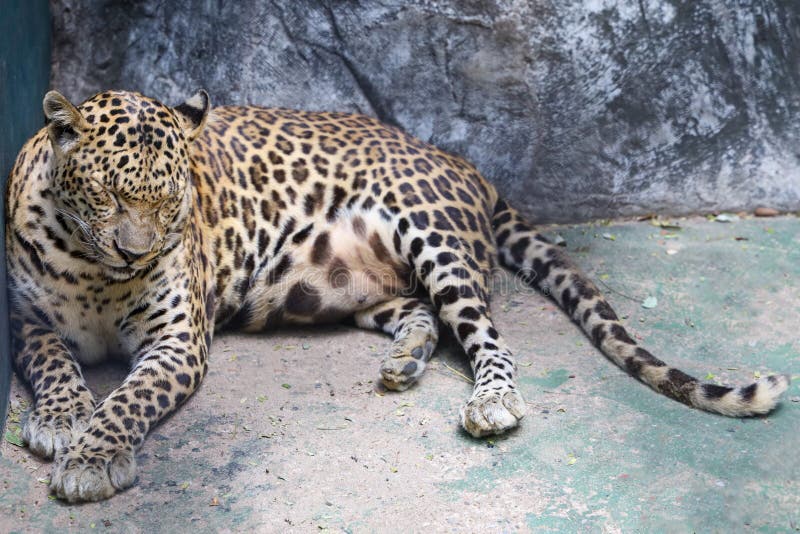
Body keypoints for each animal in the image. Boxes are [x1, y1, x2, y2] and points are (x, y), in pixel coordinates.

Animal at [5, 89, 790, 502]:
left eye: (174, 205)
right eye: (107, 197)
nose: (135, 252)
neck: (97, 270)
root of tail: (465, 164)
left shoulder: (177, 342)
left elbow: (130, 398)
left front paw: (91, 458)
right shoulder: (22, 318)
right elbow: (53, 363)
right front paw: (63, 420)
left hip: (434, 238)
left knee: (486, 335)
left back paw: (490, 403)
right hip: (334, 284)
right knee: (422, 317)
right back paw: (405, 362)